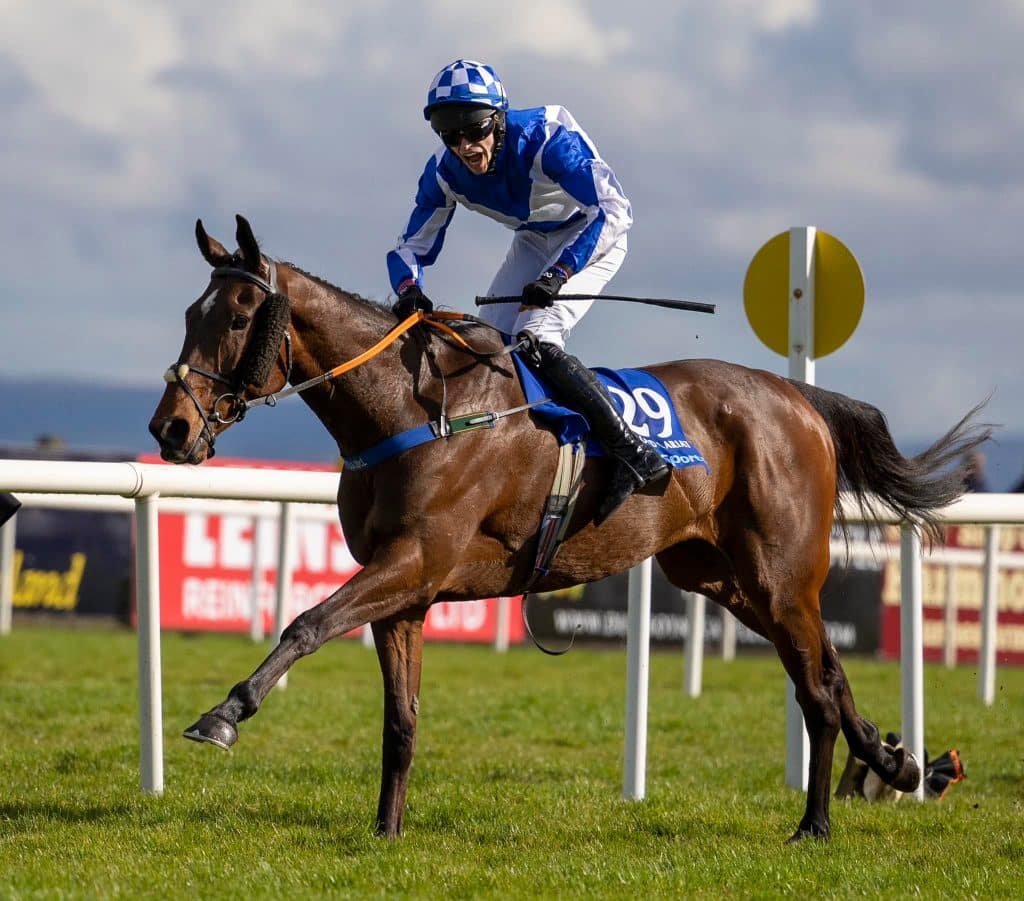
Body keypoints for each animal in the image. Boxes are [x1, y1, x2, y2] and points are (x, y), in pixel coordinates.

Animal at [149, 214, 988, 841]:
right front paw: (386, 829)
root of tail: (797, 398)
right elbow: (400, 719)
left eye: (236, 316)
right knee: (832, 676)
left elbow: (307, 622)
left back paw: (815, 823)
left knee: (815, 690)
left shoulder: (414, 562)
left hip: (780, 578)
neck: (413, 409)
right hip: (720, 576)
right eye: (191, 314)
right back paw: (899, 762)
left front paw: (222, 715)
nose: (171, 428)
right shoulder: (405, 592)